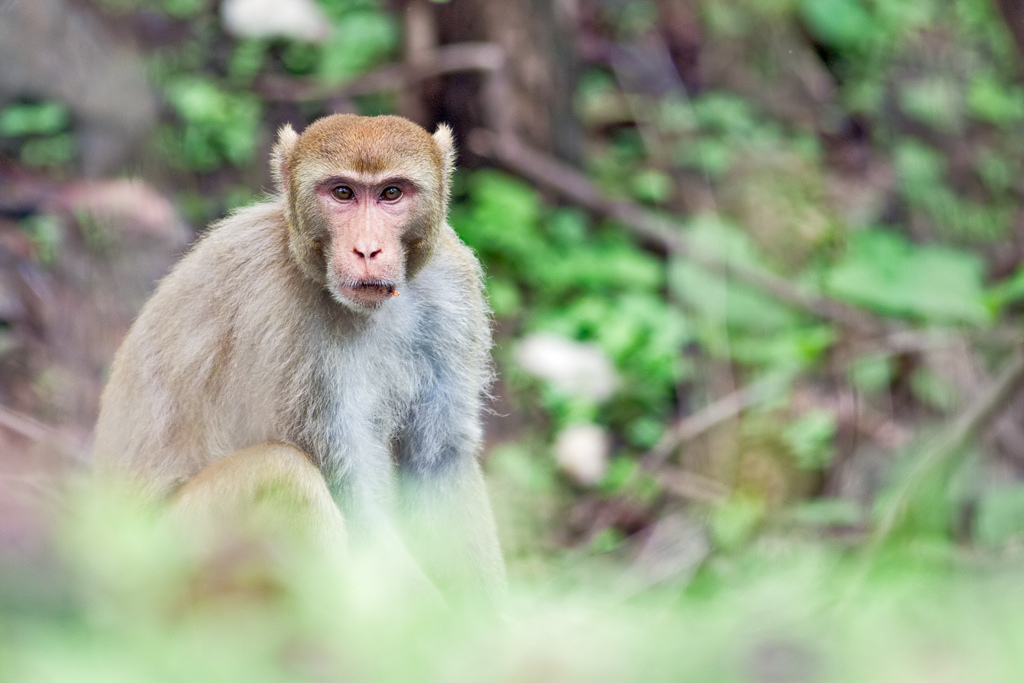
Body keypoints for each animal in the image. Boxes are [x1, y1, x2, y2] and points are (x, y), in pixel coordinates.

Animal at [92, 114, 506, 604]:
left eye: (391, 193)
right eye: (342, 193)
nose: (367, 250)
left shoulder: (451, 284)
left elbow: (439, 459)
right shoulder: (281, 317)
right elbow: (353, 498)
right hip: (167, 571)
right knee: (285, 477)